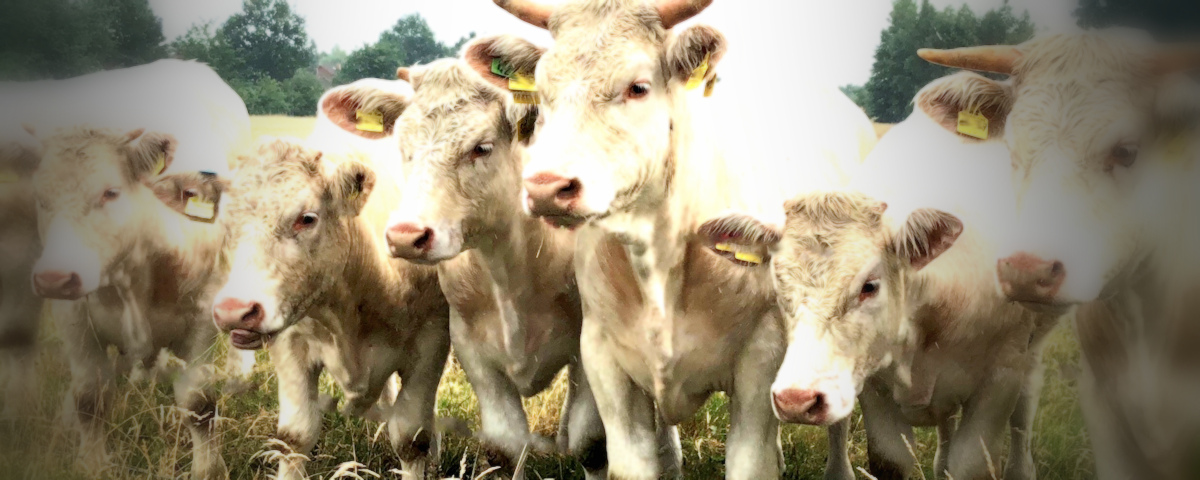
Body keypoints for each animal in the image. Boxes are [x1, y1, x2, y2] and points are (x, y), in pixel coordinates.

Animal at [208, 130, 451, 479]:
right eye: (225, 224)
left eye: (306, 218)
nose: (233, 311)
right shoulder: (290, 340)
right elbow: (295, 437)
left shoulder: (432, 341)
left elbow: (410, 438)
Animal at [322, 56, 606, 478]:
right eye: (404, 148)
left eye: (481, 147)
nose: (406, 236)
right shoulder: (471, 345)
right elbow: (505, 447)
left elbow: (591, 443)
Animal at [486, 1, 876, 478]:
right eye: (541, 93)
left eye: (637, 87)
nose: (546, 187)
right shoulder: (603, 356)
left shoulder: (761, 355)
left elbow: (750, 461)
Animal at [696, 108, 1064, 480]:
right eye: (778, 284)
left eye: (869, 286)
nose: (796, 400)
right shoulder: (873, 387)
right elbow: (891, 458)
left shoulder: (1001, 378)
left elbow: (973, 462)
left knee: (1024, 410)